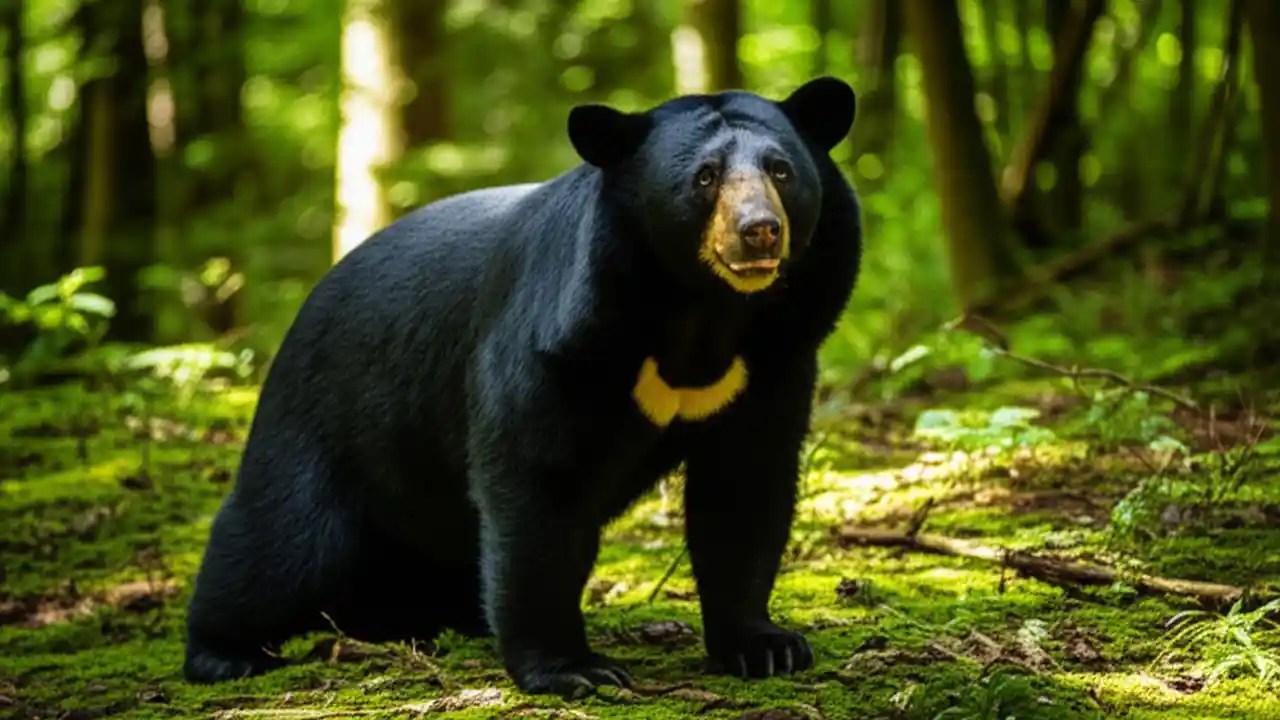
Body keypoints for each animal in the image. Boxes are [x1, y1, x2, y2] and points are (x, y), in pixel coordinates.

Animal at [182, 76, 862, 697]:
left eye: (780, 170)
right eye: (704, 178)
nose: (759, 231)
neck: (704, 312)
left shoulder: (773, 359)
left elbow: (745, 489)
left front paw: (766, 645)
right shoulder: (560, 342)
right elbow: (538, 488)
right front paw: (573, 669)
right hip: (327, 420)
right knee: (283, 543)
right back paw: (222, 652)